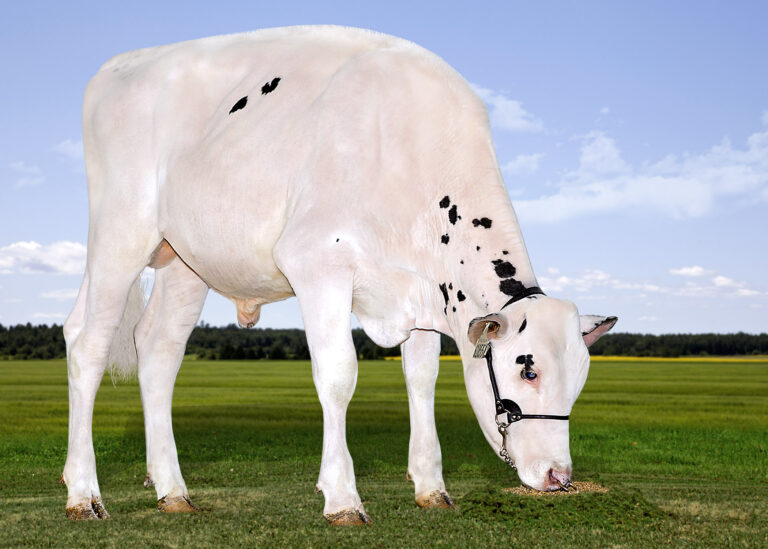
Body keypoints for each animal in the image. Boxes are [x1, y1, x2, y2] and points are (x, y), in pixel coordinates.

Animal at [61, 25, 617, 525]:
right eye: (528, 370)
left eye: (580, 378)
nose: (559, 477)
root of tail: (123, 62)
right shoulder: (316, 263)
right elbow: (338, 375)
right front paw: (342, 498)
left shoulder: (421, 295)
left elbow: (422, 380)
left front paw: (431, 487)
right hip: (120, 234)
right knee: (89, 343)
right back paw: (84, 494)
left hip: (185, 260)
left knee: (157, 351)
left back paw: (172, 491)